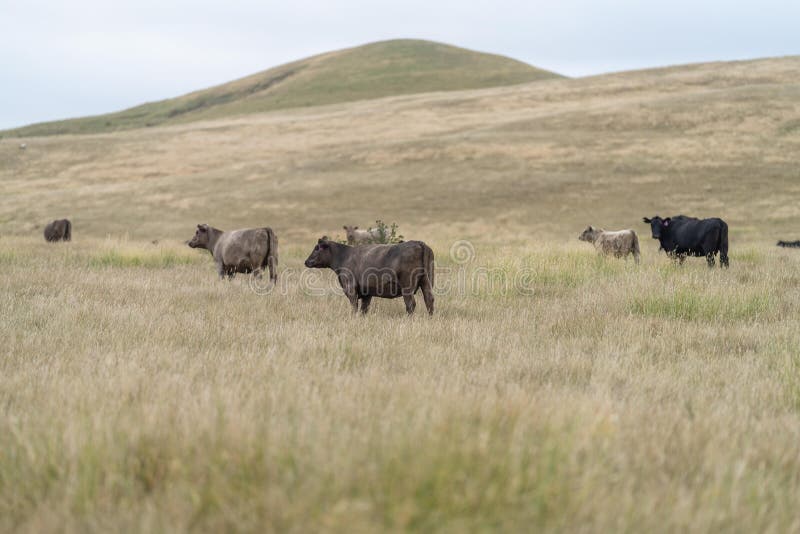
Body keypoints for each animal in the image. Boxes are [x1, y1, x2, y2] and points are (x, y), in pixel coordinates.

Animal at [304, 238, 434, 315]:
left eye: (317, 248)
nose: (306, 261)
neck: (344, 256)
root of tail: (419, 243)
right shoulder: (367, 293)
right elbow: (364, 309)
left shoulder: (350, 288)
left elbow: (354, 307)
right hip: (426, 282)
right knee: (429, 300)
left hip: (407, 287)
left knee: (411, 304)